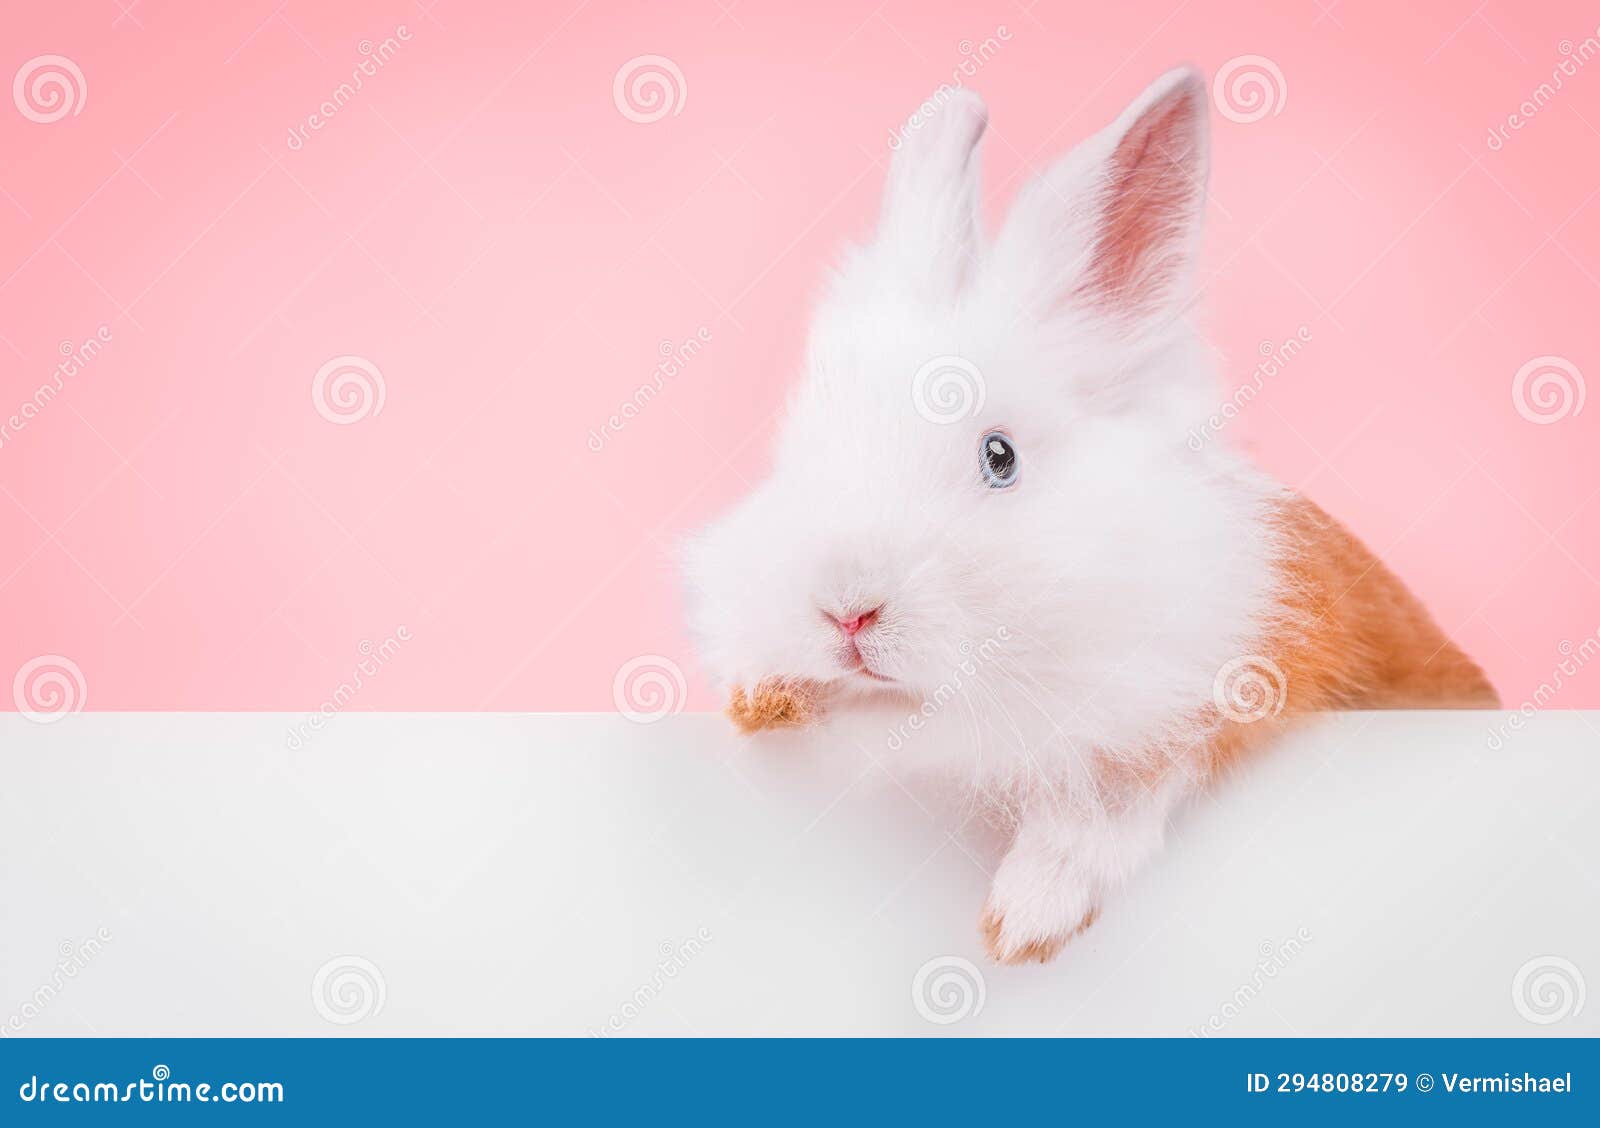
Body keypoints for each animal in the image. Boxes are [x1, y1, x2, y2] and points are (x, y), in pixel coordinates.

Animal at [680, 66, 1499, 965]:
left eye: (1000, 457)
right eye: (802, 450)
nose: (846, 612)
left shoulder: (1250, 667)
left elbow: (1120, 792)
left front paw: (1025, 919)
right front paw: (760, 701)